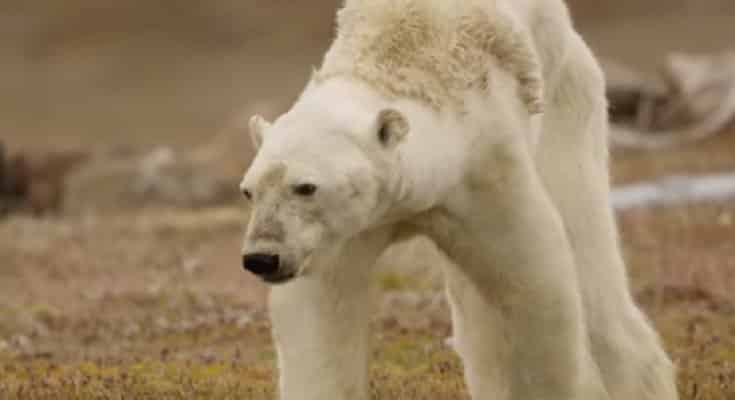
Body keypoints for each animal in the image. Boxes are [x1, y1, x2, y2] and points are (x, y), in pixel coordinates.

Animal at [239, 1, 678, 399]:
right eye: (249, 190)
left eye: (305, 186)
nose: (262, 257)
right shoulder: (347, 230)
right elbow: (320, 311)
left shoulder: (487, 171)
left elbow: (535, 288)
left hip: (568, 105)